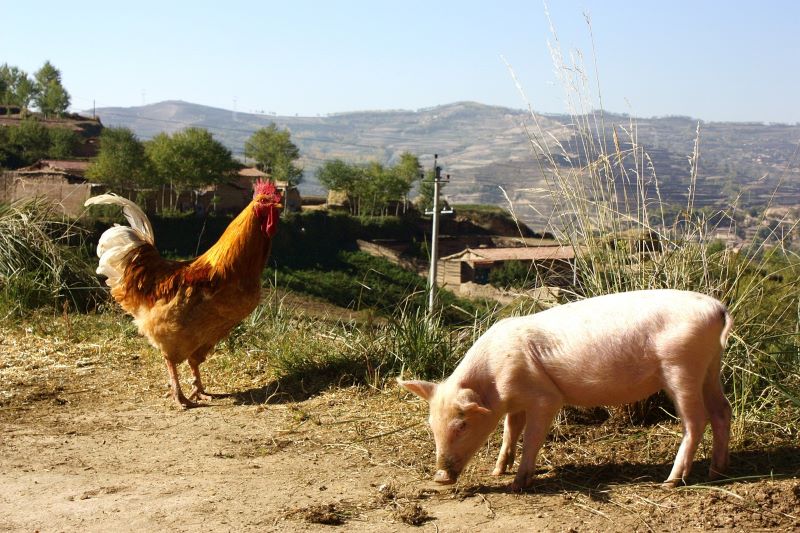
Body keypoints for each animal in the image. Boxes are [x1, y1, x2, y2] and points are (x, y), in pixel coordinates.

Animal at [399, 289, 732, 491]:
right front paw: (497, 471)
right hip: (710, 365)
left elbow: (532, 437)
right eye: (431, 425)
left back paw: (671, 481)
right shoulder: (516, 401)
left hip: (682, 367)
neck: (494, 380)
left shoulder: (545, 398)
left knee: (696, 420)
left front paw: (518, 484)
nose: (440, 477)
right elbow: (509, 430)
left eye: (462, 424)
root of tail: (717, 308)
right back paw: (716, 472)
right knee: (722, 410)